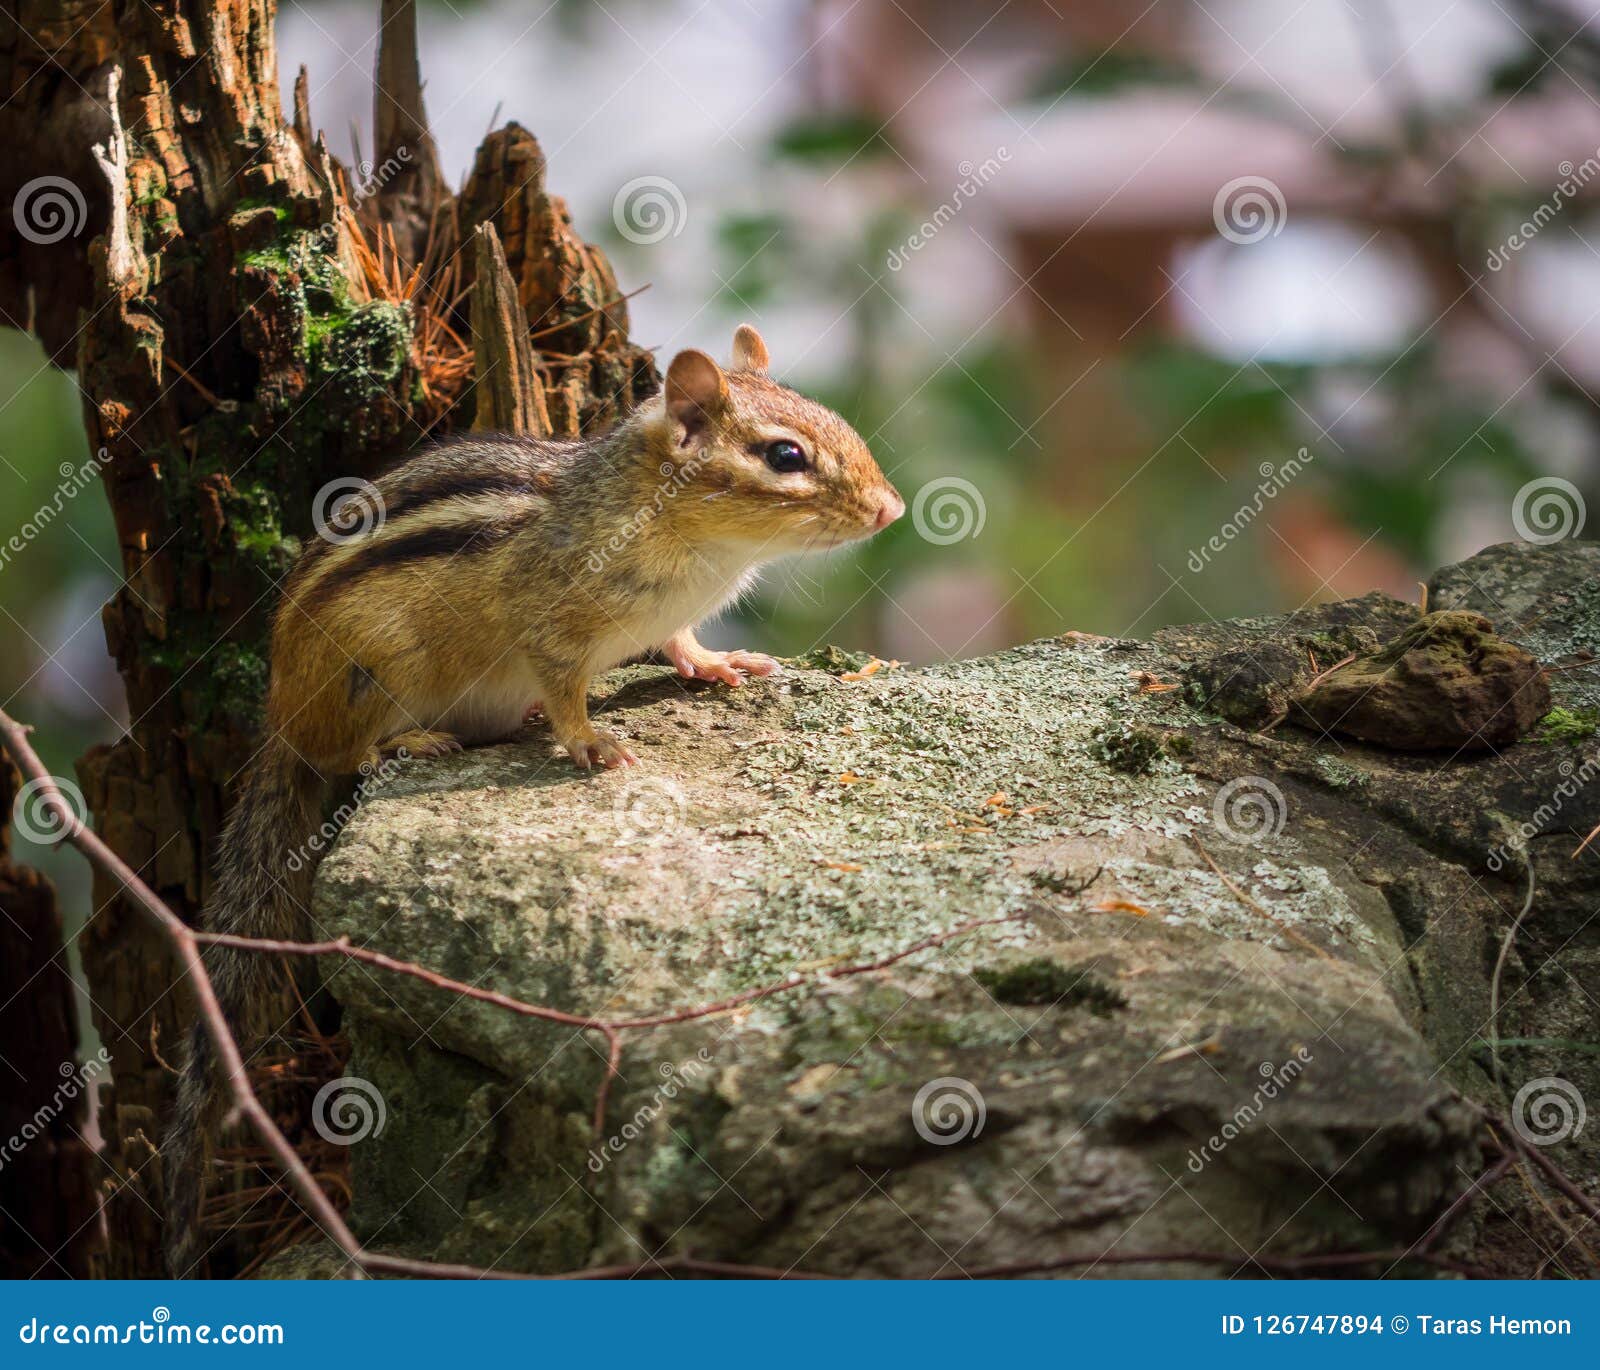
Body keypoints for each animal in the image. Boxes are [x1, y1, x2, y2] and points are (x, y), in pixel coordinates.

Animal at [161, 324, 904, 1274]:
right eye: (785, 456)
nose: (890, 511)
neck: (685, 534)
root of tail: (280, 718)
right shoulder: (552, 629)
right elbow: (564, 690)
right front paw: (590, 744)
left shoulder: (659, 619)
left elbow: (678, 641)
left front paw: (717, 664)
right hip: (368, 673)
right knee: (347, 750)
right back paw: (411, 743)